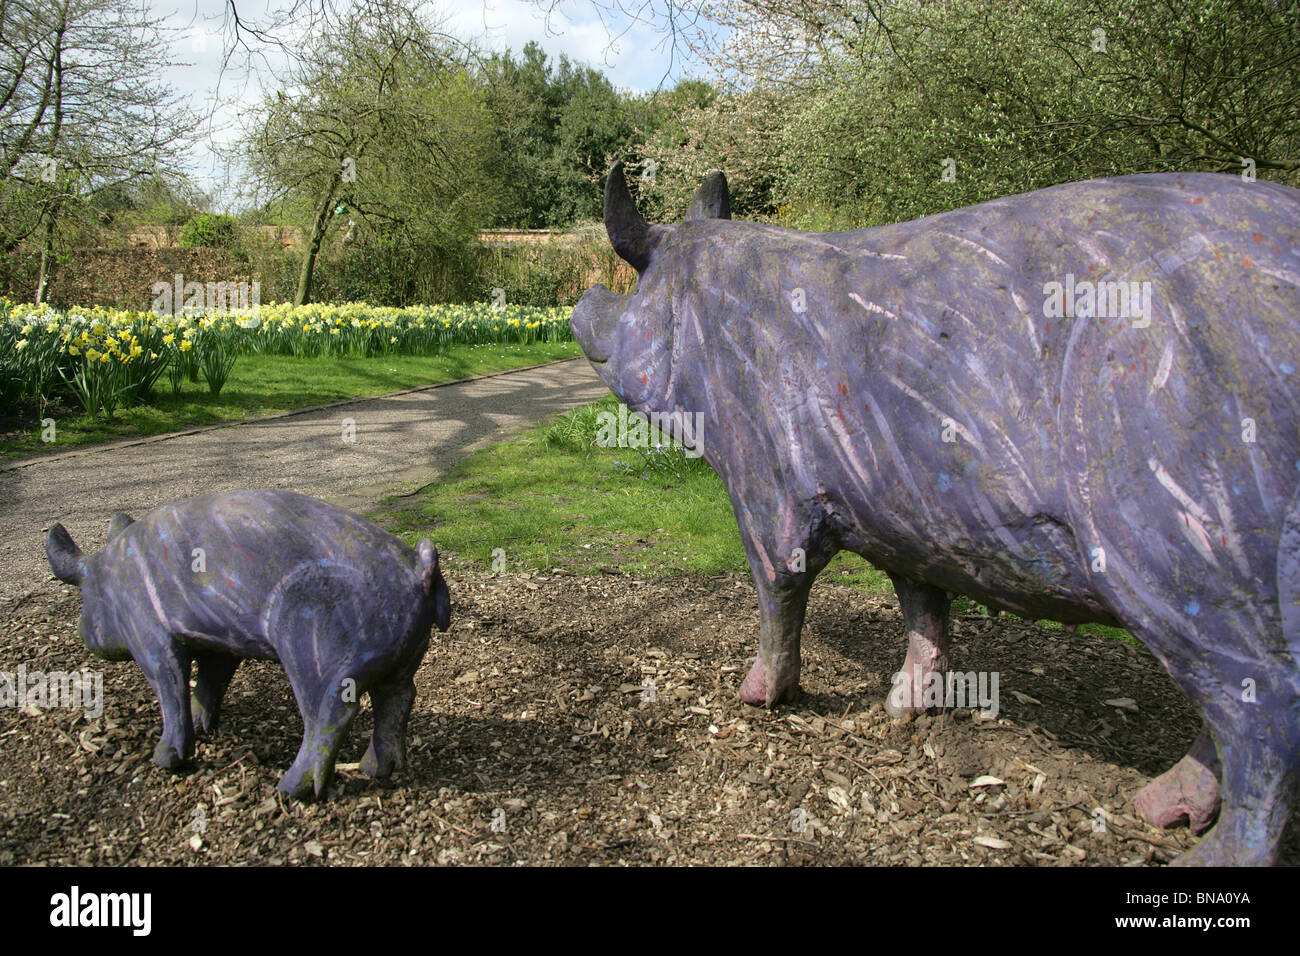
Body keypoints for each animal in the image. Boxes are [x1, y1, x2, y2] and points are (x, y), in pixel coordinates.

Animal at [45, 490, 451, 799]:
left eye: (85, 589)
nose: (84, 633)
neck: (115, 573)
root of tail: (418, 569)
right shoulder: (219, 640)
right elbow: (211, 679)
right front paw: (204, 727)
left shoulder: (149, 633)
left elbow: (171, 685)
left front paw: (165, 761)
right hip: (403, 655)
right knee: (398, 698)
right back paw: (376, 770)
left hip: (316, 651)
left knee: (331, 715)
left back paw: (289, 790)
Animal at [571, 162, 1300, 865]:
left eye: (635, 283)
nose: (579, 302)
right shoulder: (910, 520)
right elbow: (923, 609)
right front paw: (900, 713)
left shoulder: (764, 475)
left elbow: (780, 584)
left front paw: (755, 697)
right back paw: (1153, 809)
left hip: (1185, 534)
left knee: (1265, 717)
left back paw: (1196, 854)